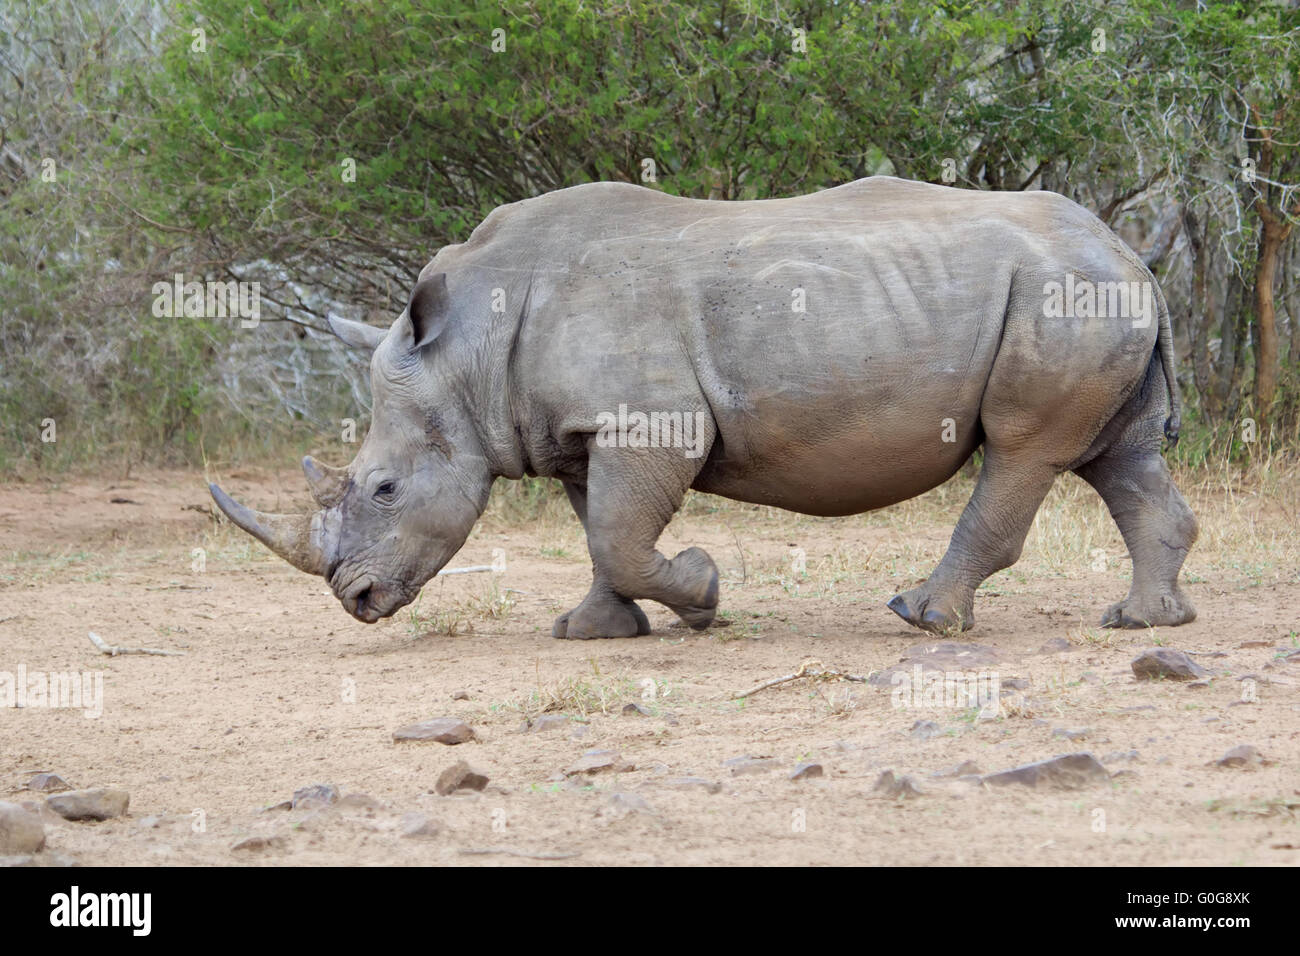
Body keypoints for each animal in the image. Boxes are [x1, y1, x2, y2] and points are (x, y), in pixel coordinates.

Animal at [210, 176, 1197, 637]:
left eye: (382, 489)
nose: (357, 599)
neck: (468, 352)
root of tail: (1129, 250)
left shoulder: (649, 420)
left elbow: (619, 534)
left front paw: (704, 592)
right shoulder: (587, 429)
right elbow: (601, 533)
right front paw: (592, 631)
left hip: (1064, 298)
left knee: (1025, 451)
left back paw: (920, 617)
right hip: (1091, 297)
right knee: (1121, 457)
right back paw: (1144, 623)